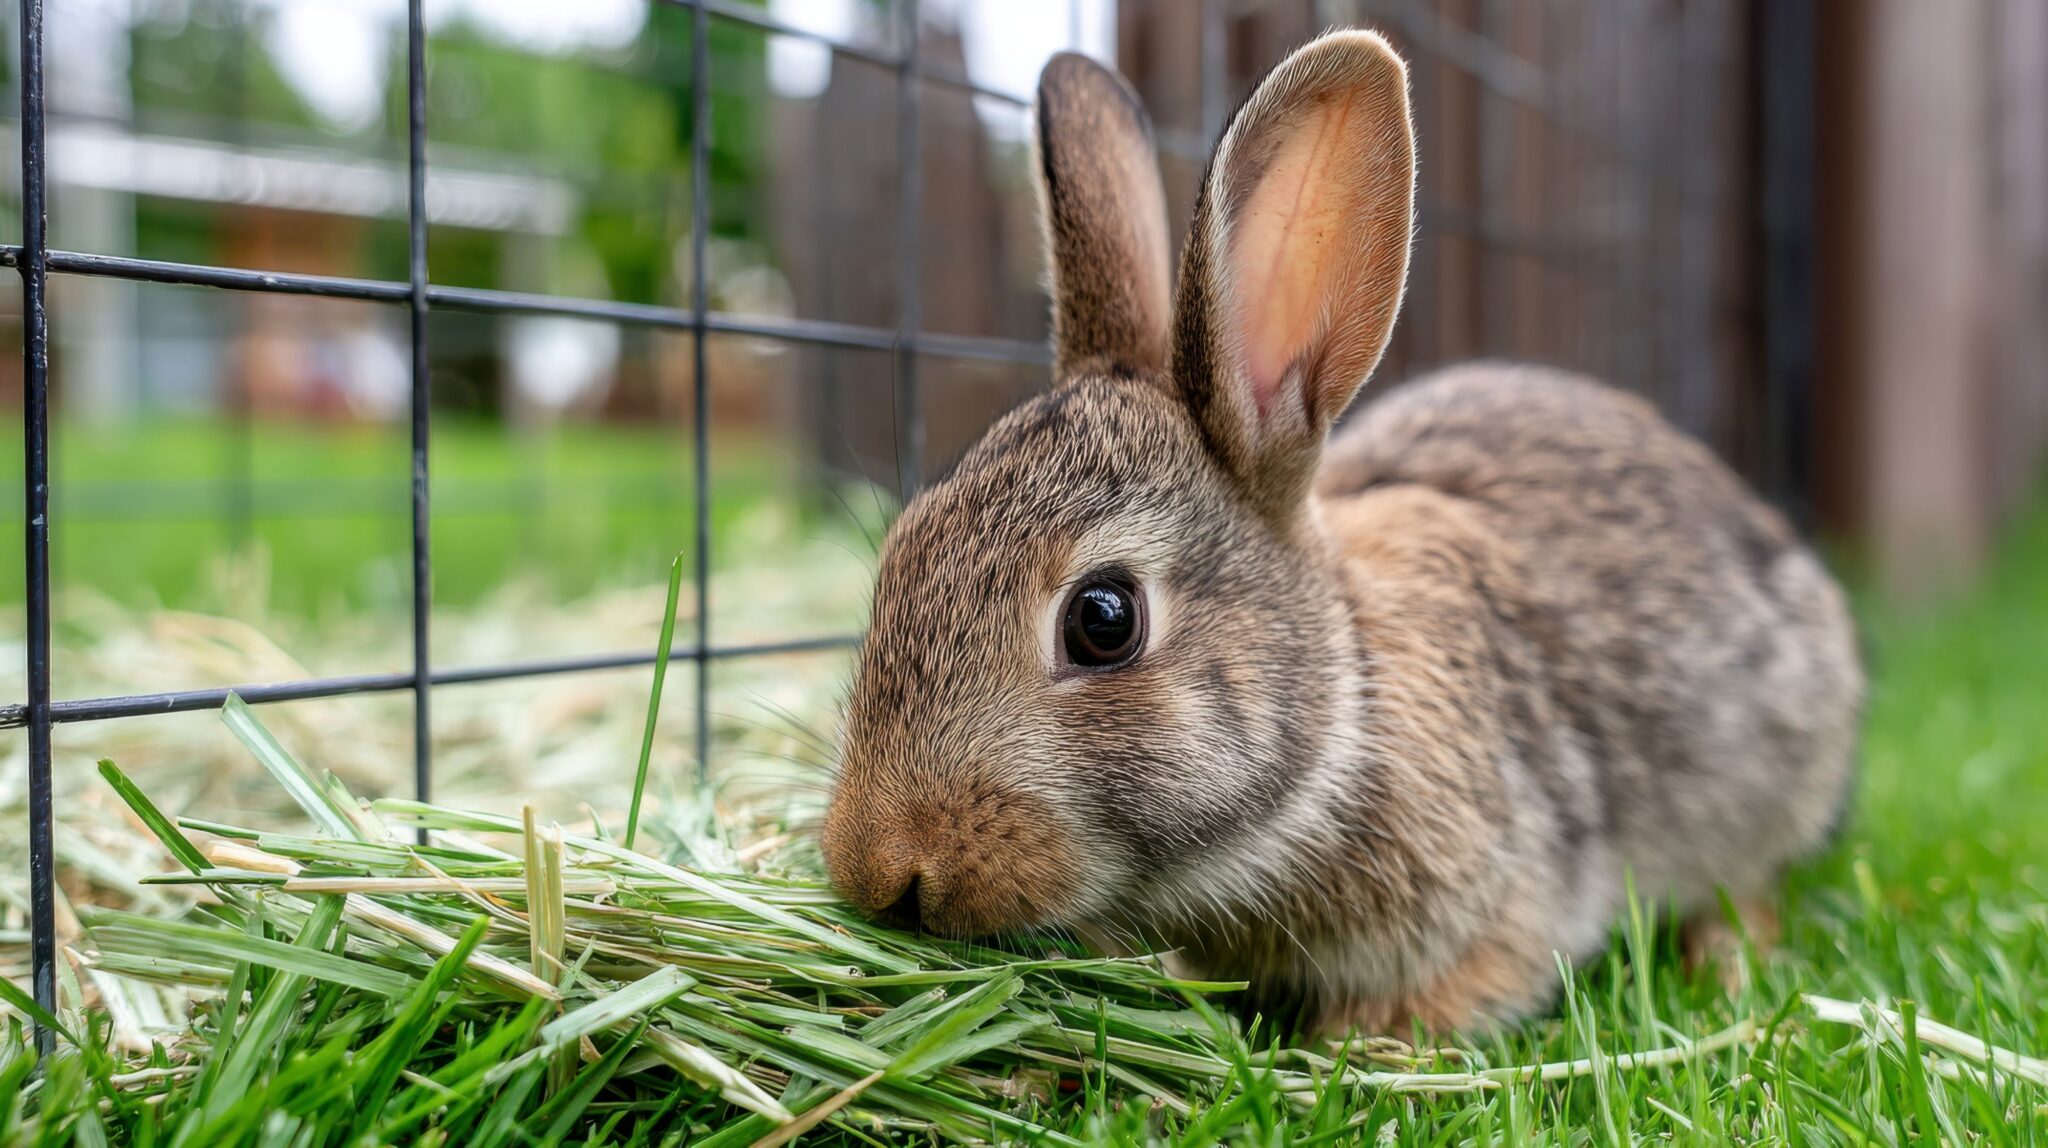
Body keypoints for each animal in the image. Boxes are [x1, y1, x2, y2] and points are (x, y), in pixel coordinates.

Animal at [820, 29, 1862, 1035]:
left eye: (1103, 620)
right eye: (899, 550)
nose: (878, 871)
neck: (1344, 708)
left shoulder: (1506, 901)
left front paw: (1346, 1045)